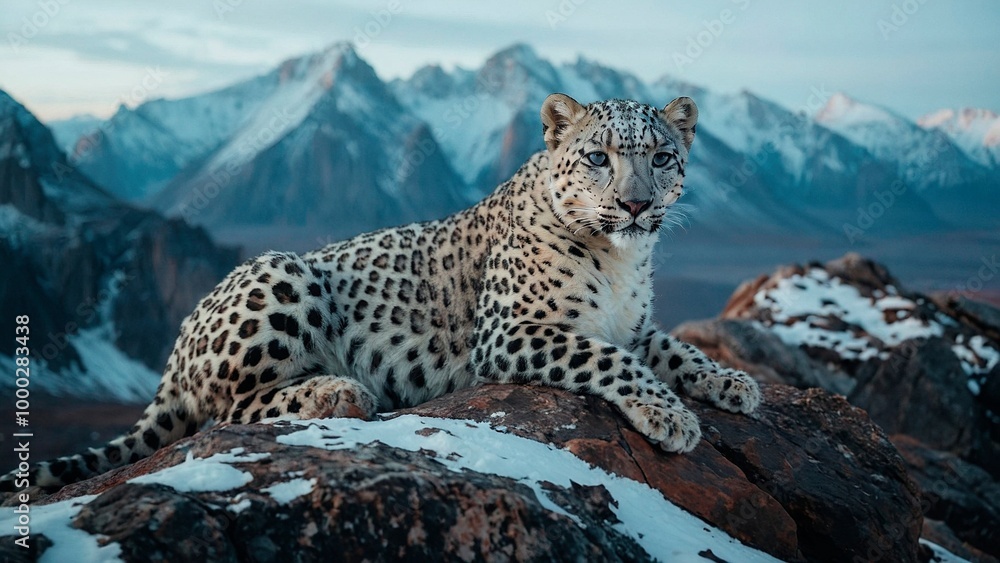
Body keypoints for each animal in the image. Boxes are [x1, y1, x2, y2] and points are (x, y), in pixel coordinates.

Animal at [1, 93, 761, 493]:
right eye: (598, 158)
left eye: (662, 157)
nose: (636, 205)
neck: (622, 258)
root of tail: (176, 350)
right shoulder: (512, 332)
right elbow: (611, 361)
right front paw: (672, 417)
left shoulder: (635, 324)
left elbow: (672, 349)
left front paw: (733, 383)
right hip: (285, 275)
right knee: (225, 411)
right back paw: (340, 391)